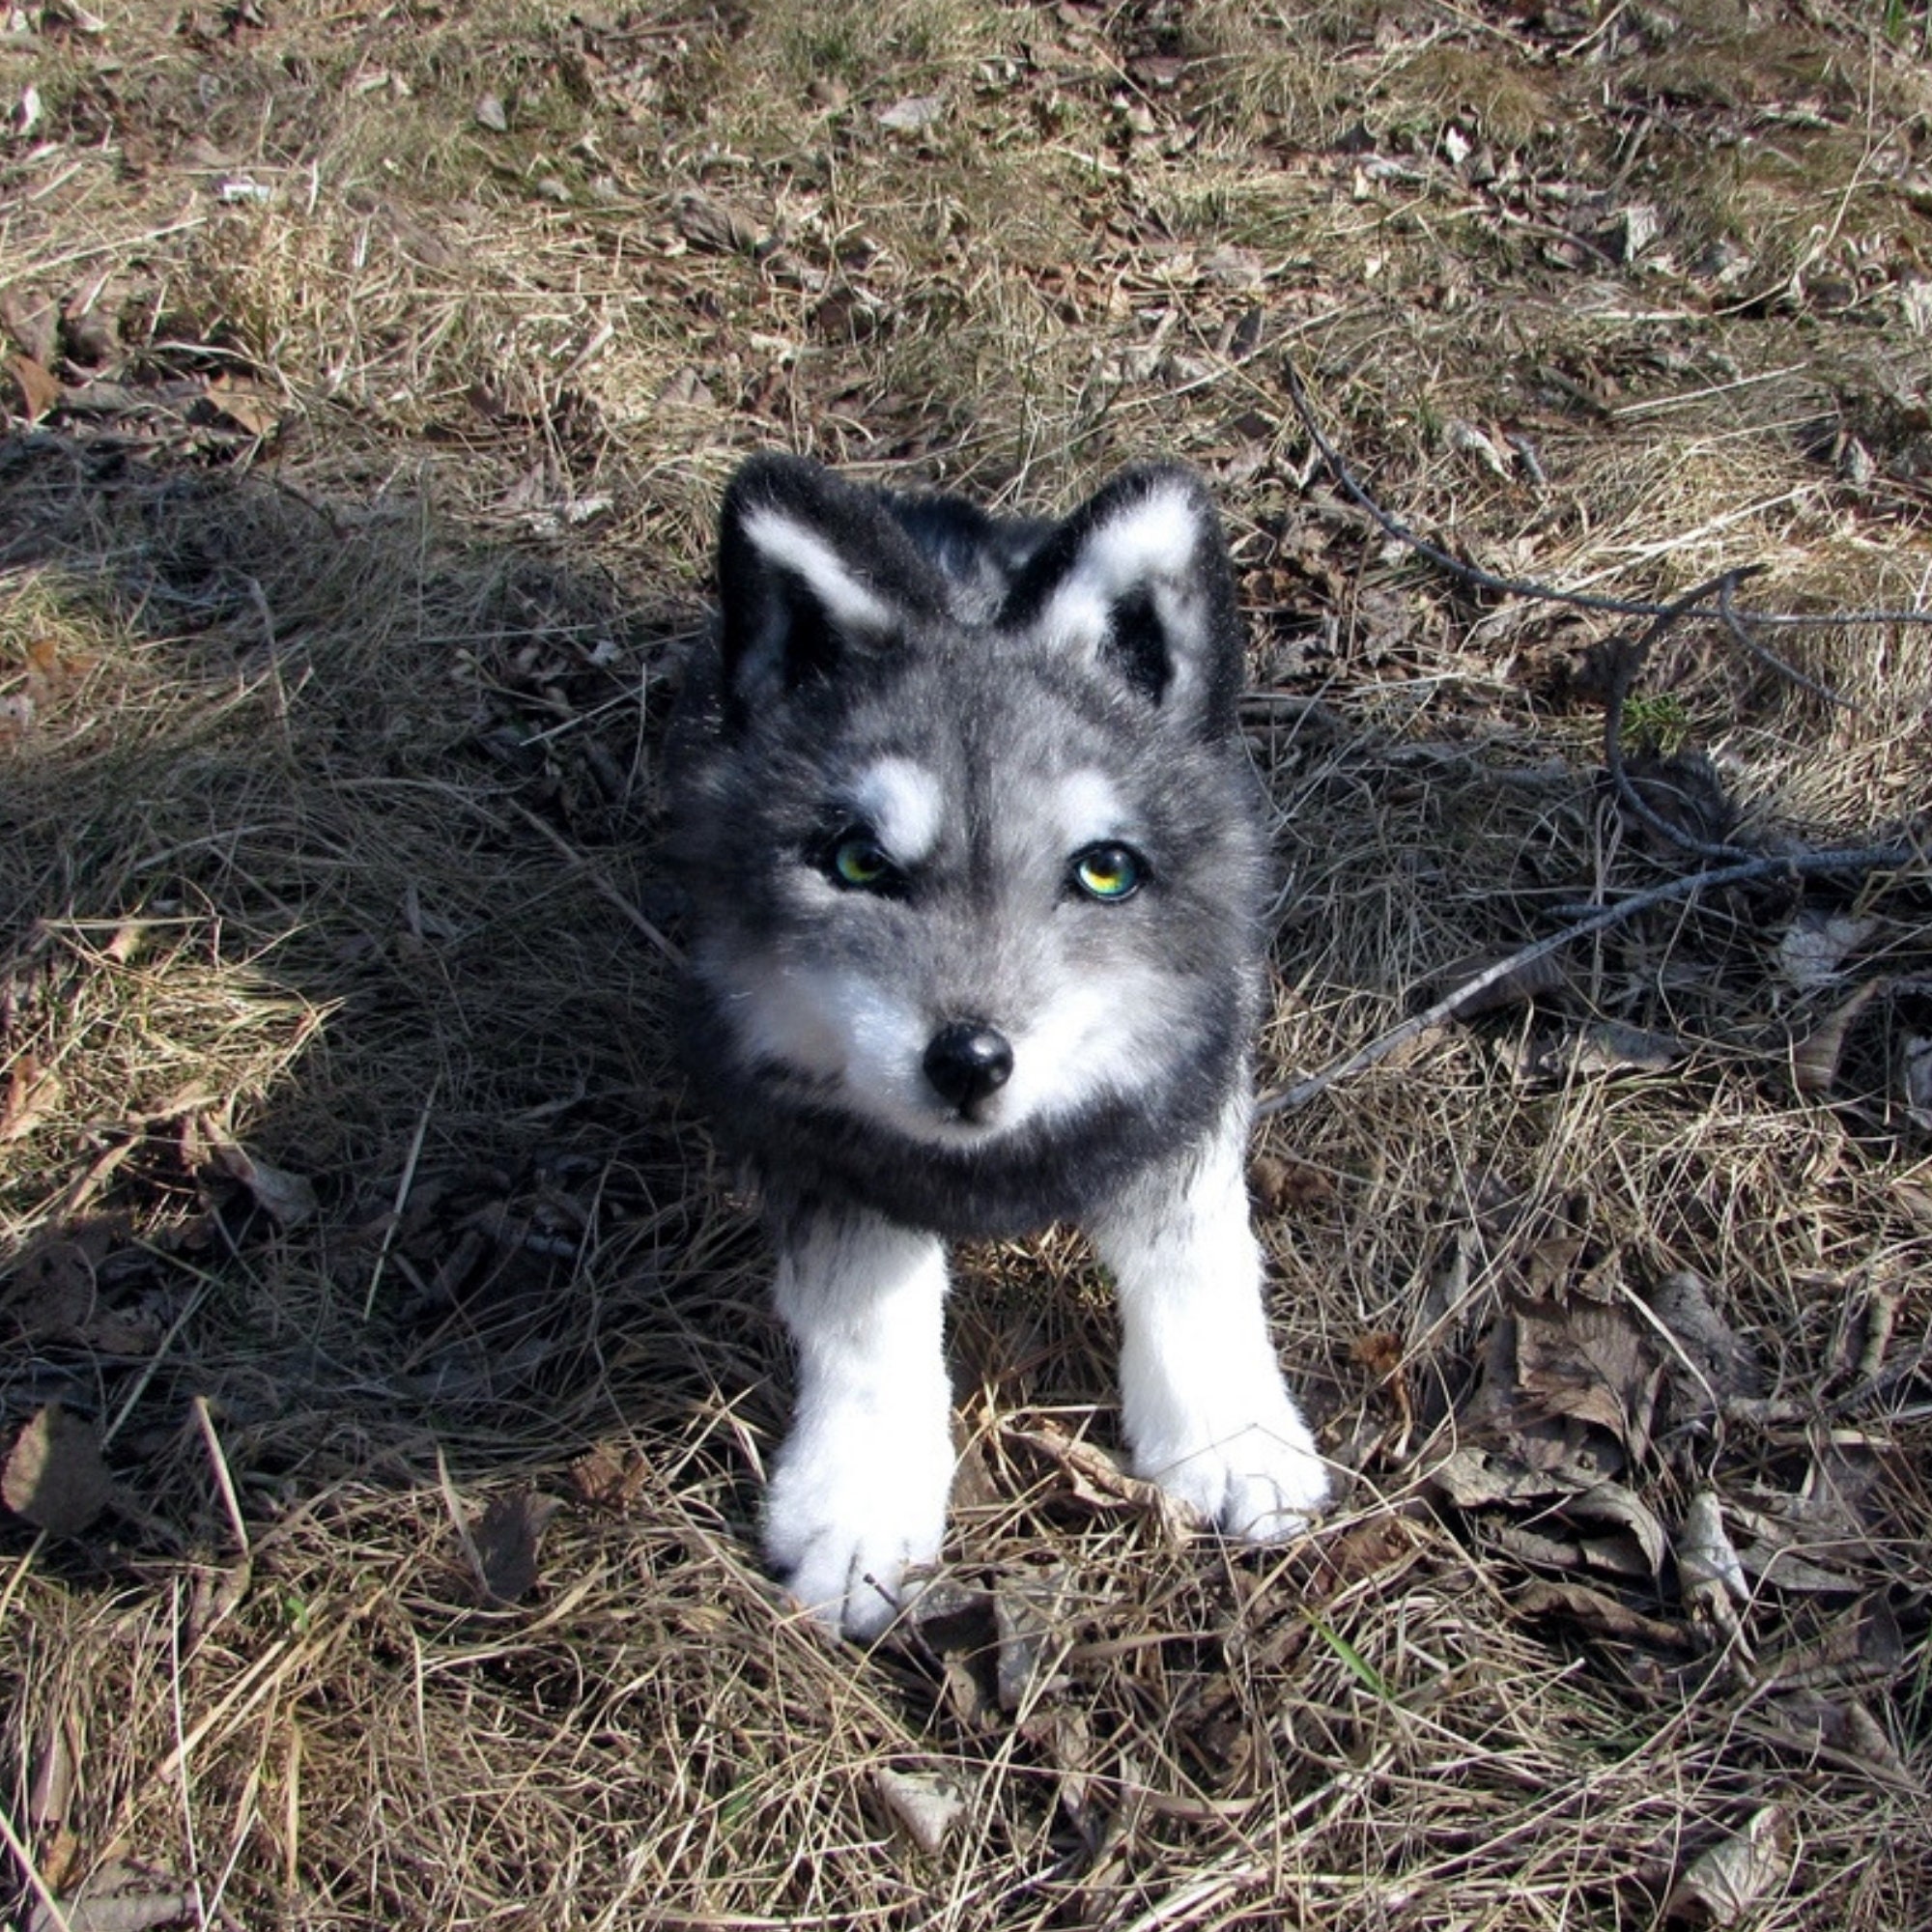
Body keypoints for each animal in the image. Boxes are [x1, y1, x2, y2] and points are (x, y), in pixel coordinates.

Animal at [669, 453, 1329, 1637]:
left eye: (1105, 870)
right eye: (857, 862)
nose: (968, 1062)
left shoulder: (1192, 1066)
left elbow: (1197, 1252)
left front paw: (1226, 1428)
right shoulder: (809, 1127)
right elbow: (867, 1316)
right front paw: (860, 1493)